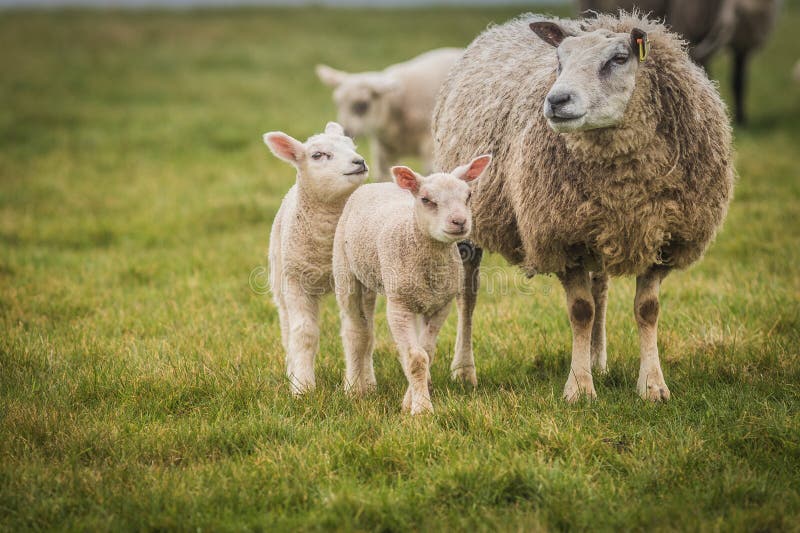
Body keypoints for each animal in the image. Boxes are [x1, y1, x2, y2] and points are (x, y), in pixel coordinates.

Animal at [264, 121, 369, 395]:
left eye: (352, 146)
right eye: (318, 155)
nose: (359, 161)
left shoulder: (352, 281)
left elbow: (358, 331)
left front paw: (358, 387)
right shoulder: (295, 280)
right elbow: (304, 334)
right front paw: (302, 388)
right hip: (280, 279)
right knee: (287, 329)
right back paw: (291, 371)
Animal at [333, 155, 492, 414]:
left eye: (468, 195)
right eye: (426, 200)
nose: (459, 222)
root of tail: (377, 184)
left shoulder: (441, 305)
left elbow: (425, 352)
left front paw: (411, 400)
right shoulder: (399, 307)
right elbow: (416, 358)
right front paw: (422, 409)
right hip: (346, 272)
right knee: (355, 332)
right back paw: (354, 389)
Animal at [432, 12, 735, 402]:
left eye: (619, 59)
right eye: (559, 61)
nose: (556, 100)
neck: (625, 184)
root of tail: (504, 27)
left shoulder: (665, 239)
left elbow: (647, 310)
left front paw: (652, 386)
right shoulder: (563, 239)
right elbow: (580, 311)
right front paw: (579, 388)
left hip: (600, 227)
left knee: (601, 286)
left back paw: (598, 360)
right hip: (470, 215)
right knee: (468, 291)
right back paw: (464, 370)